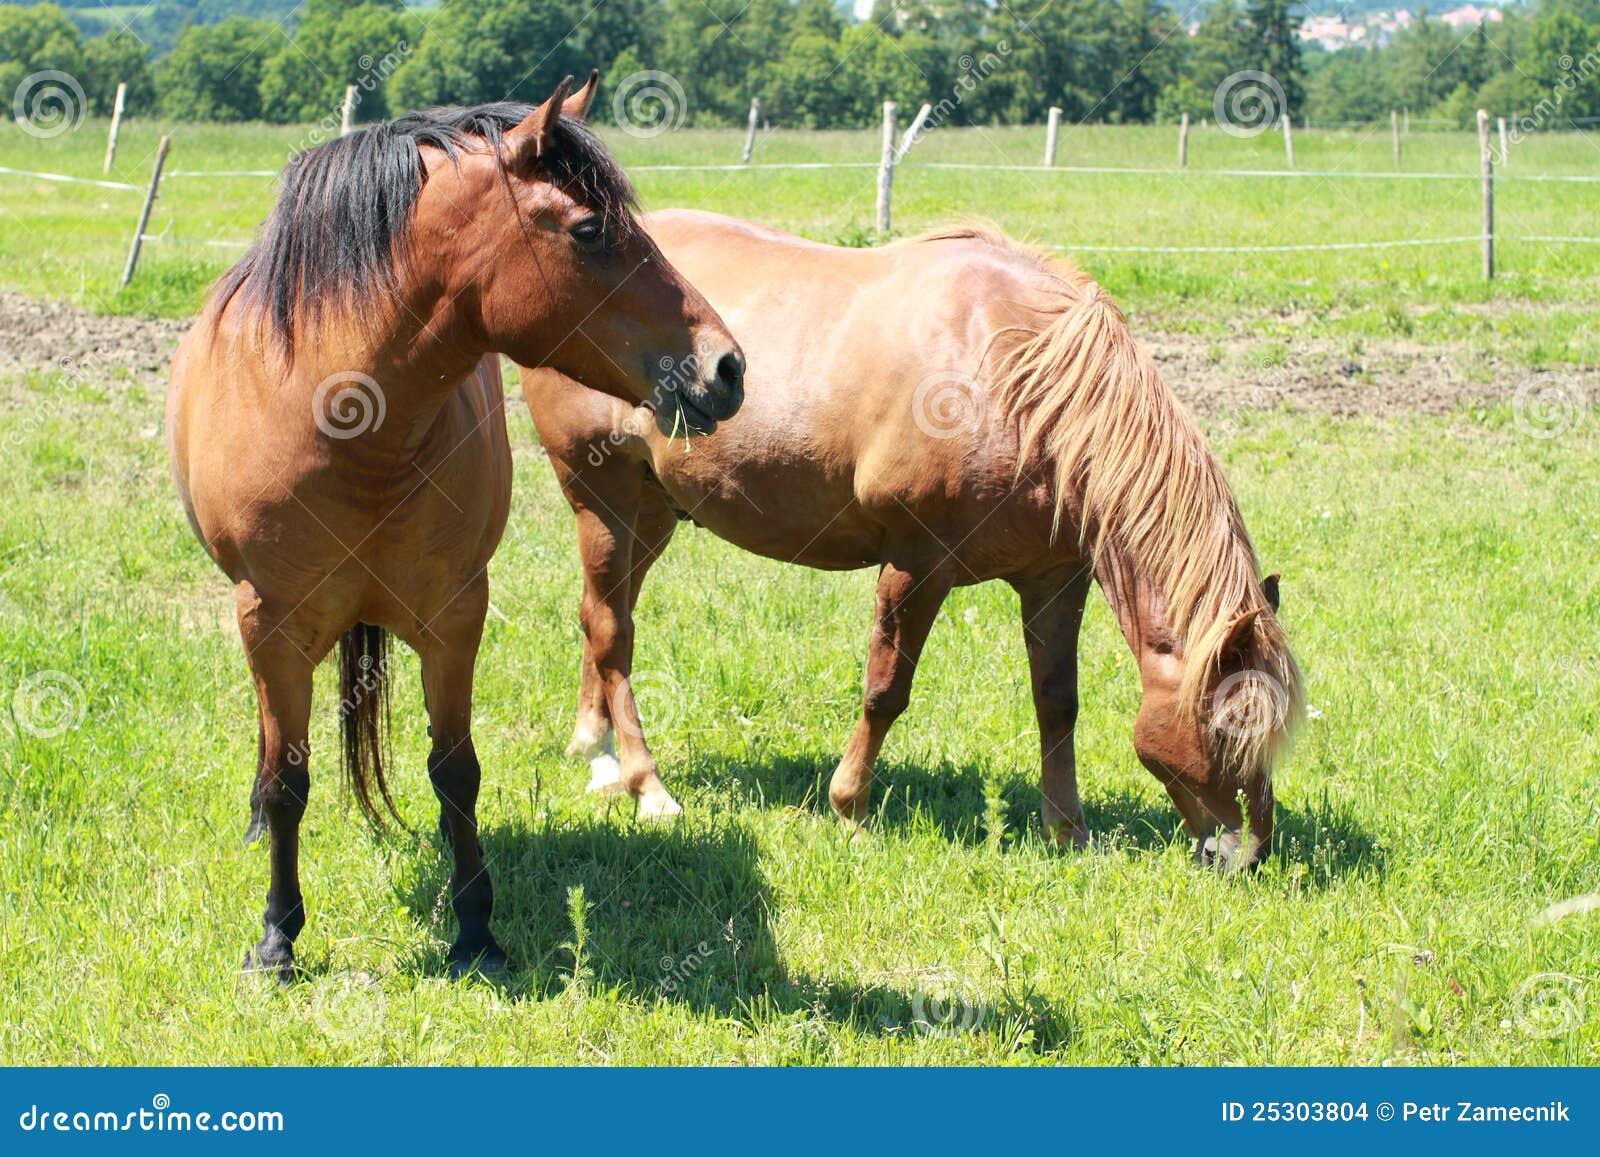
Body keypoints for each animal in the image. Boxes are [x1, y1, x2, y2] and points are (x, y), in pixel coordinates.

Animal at [167, 78, 745, 980]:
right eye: (589, 231)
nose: (727, 367)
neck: (347, 428)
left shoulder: (454, 616)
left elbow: (454, 772)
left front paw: (476, 931)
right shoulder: (271, 625)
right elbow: (286, 782)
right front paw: (277, 938)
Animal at [521, 209, 1300, 869]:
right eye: (1228, 728)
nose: (1247, 856)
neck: (1021, 383)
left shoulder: (1054, 579)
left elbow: (1058, 702)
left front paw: (1068, 831)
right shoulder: (917, 563)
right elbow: (885, 690)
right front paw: (850, 809)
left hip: (653, 512)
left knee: (603, 619)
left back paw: (594, 748)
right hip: (602, 498)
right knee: (612, 631)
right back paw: (644, 783)